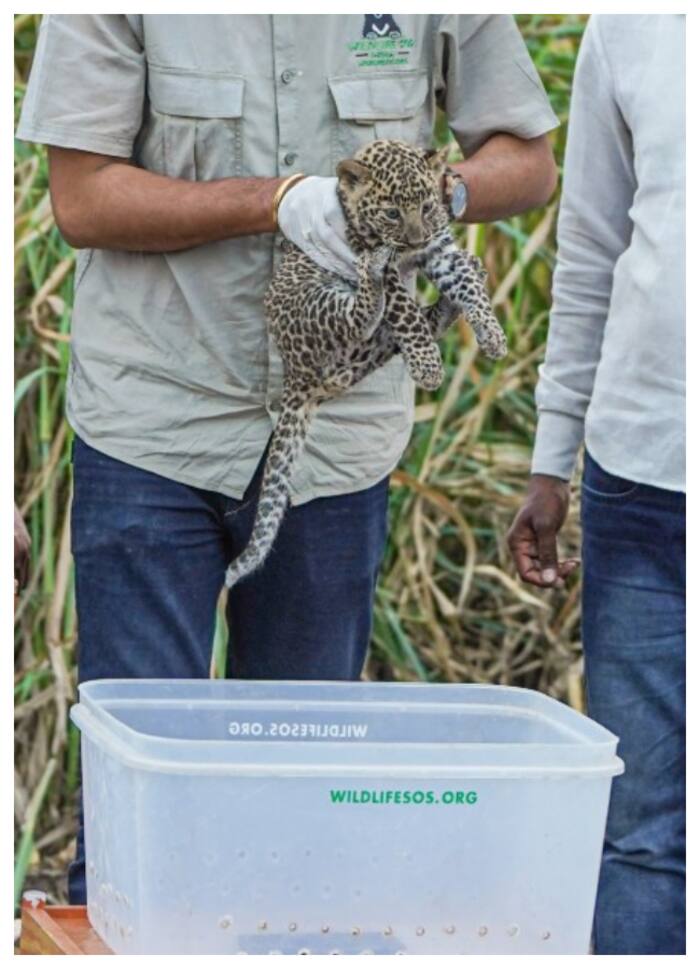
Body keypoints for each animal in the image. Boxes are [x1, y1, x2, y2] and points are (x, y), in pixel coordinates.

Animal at [224, 139, 506, 588]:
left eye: (427, 205)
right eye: (392, 213)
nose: (414, 239)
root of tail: (295, 372)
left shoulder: (440, 251)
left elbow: (465, 281)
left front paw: (492, 333)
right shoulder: (393, 271)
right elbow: (404, 310)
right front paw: (427, 364)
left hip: (363, 354)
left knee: (391, 330)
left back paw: (456, 297)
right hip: (317, 300)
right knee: (364, 312)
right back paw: (373, 284)